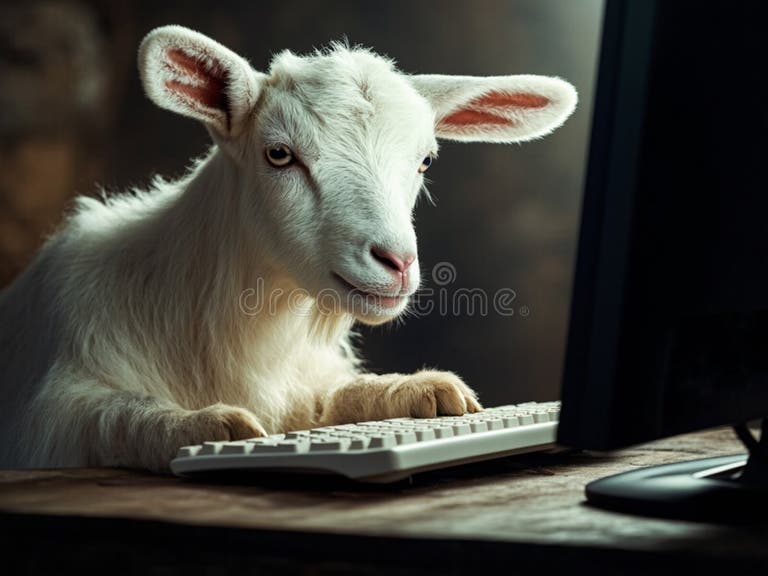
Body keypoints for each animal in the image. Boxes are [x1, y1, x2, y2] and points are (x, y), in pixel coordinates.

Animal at [0, 26, 577, 471]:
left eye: (426, 160)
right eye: (279, 154)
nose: (396, 262)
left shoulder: (308, 387)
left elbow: (336, 399)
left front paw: (423, 390)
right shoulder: (52, 417)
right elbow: (111, 418)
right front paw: (208, 424)